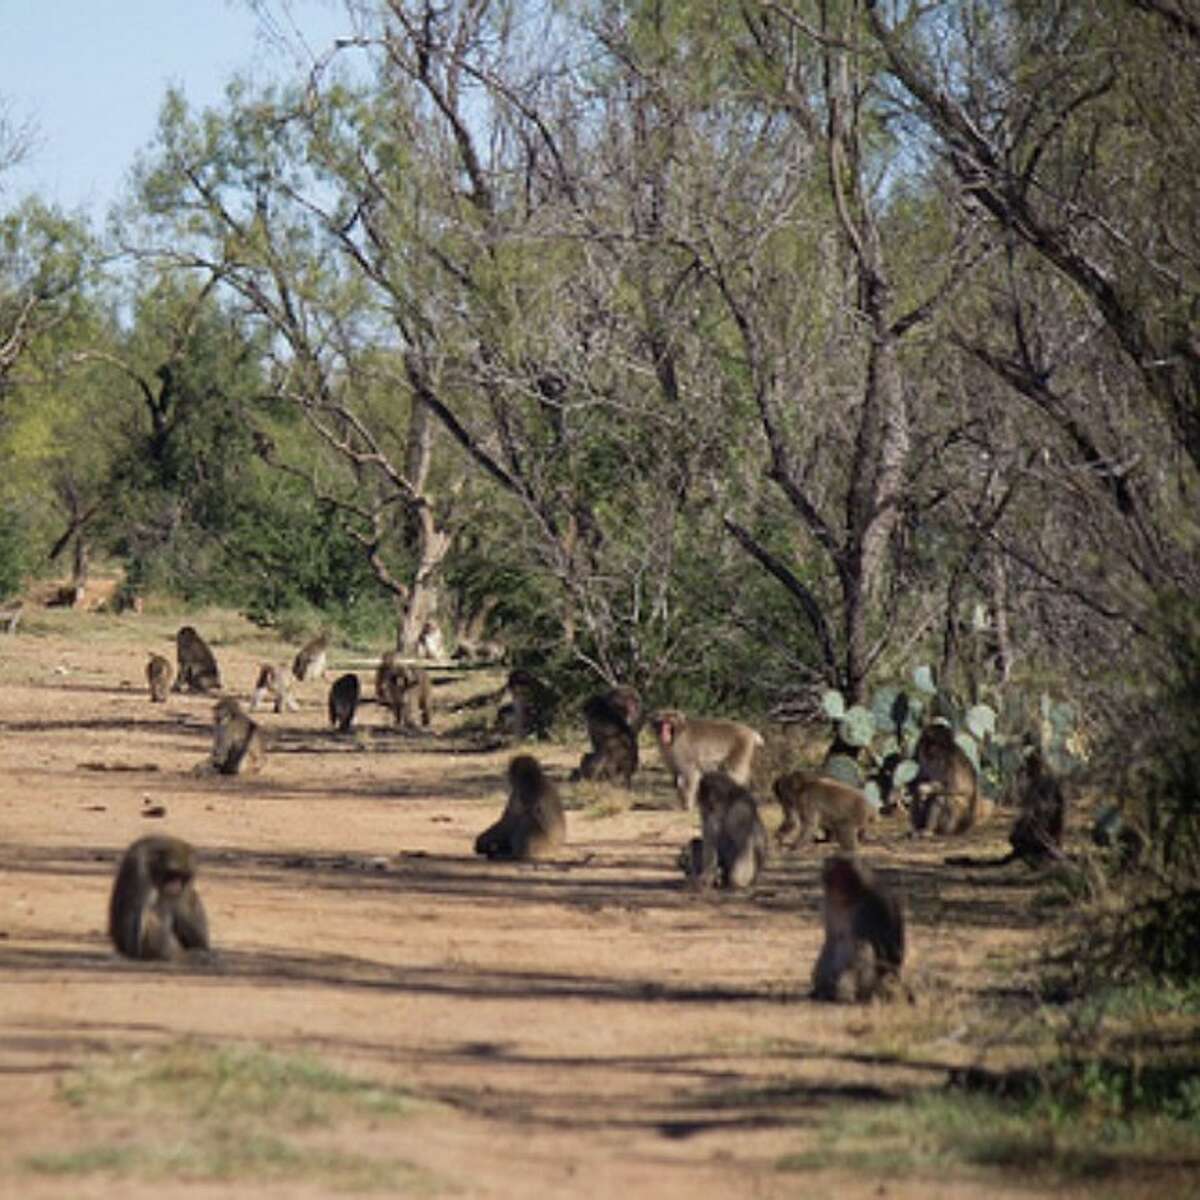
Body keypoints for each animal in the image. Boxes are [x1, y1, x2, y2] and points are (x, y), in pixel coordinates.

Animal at [812, 855, 906, 1003]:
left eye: (846, 875)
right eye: (837, 875)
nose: (841, 886)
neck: (850, 899)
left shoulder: (872, 904)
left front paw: (843, 987)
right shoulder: (829, 903)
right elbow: (832, 940)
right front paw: (821, 985)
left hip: (875, 985)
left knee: (864, 946)